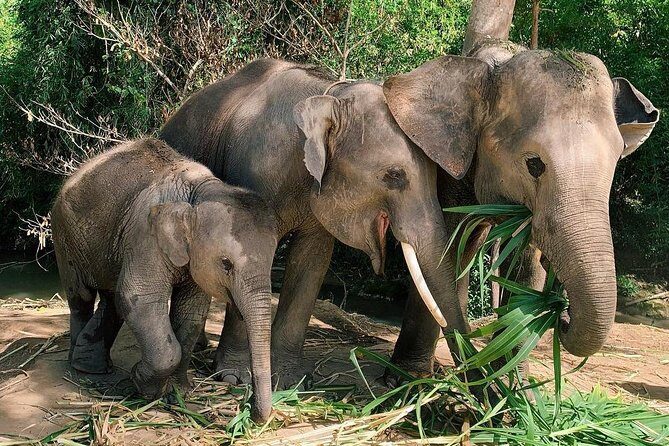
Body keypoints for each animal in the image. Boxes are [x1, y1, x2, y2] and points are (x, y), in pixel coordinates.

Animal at [51, 138, 278, 422]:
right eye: (226, 263)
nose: (247, 408)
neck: (198, 192)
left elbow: (191, 311)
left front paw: (178, 392)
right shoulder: (145, 235)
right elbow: (140, 299)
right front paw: (143, 385)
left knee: (112, 299)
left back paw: (93, 365)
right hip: (65, 237)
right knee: (81, 297)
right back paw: (80, 369)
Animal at [159, 58, 458, 387]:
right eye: (394, 175)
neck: (331, 97)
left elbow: (312, 261)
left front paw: (291, 382)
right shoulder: (251, 175)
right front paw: (235, 378)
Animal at [381, 38, 659, 371]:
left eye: (617, 160)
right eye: (534, 165)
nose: (563, 316)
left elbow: (526, 270)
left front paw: (512, 380)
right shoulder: (451, 172)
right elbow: (441, 255)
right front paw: (405, 379)